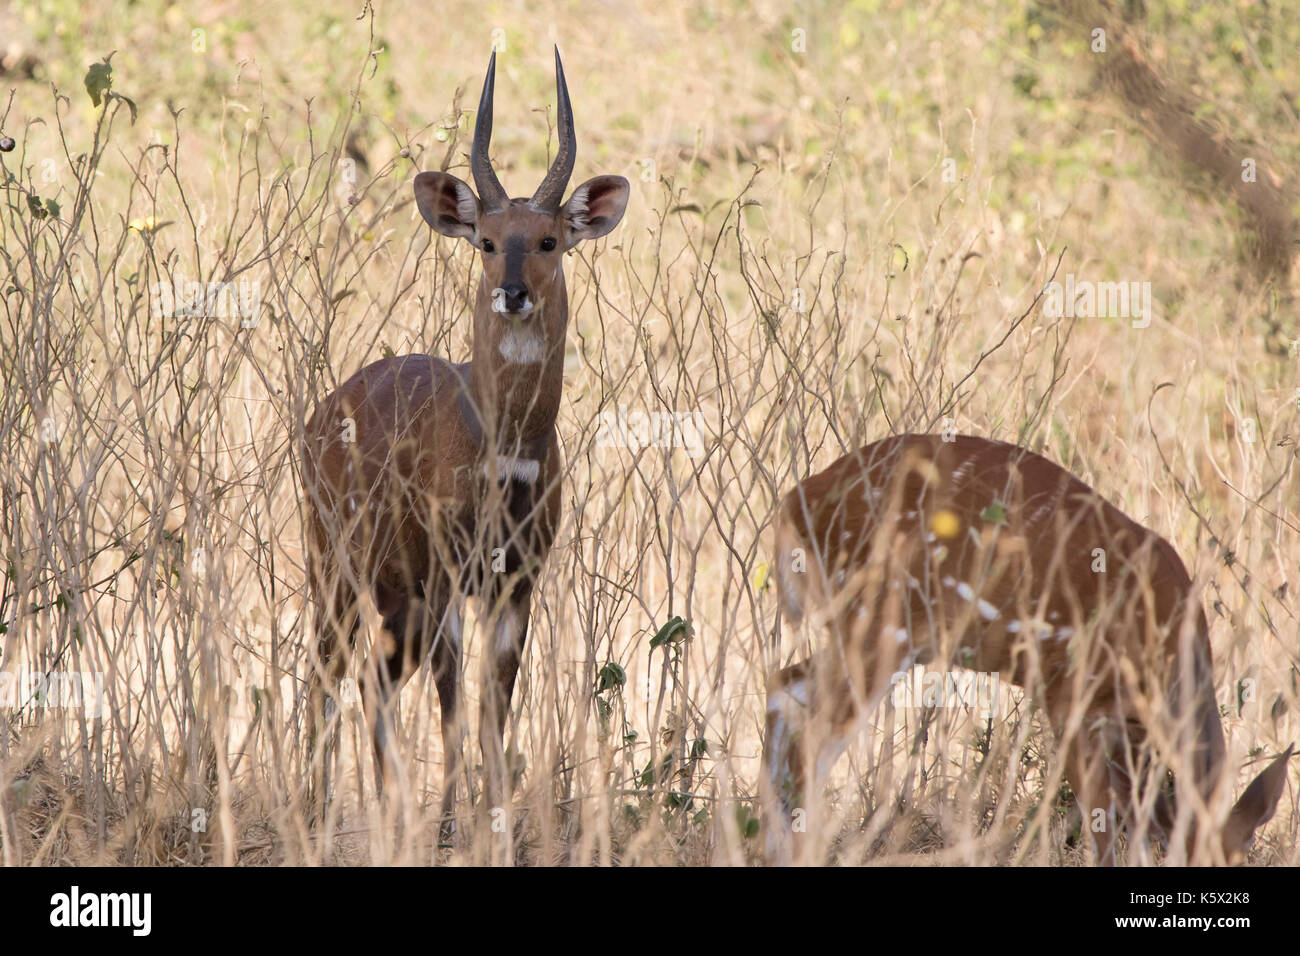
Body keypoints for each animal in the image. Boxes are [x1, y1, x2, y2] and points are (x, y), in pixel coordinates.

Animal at [300, 49, 629, 829]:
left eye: (547, 240)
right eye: (486, 241)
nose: (512, 291)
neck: (505, 456)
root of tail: (317, 418)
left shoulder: (517, 582)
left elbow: (492, 707)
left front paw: (494, 815)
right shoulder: (451, 573)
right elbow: (455, 704)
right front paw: (452, 821)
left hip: (396, 600)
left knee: (373, 682)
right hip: (336, 569)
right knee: (326, 675)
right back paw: (320, 811)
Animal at [763, 433, 1293, 864]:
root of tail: (794, 503)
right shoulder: (1070, 695)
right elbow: (1106, 831)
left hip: (885, 635)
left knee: (784, 686)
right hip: (880, 622)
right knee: (809, 735)